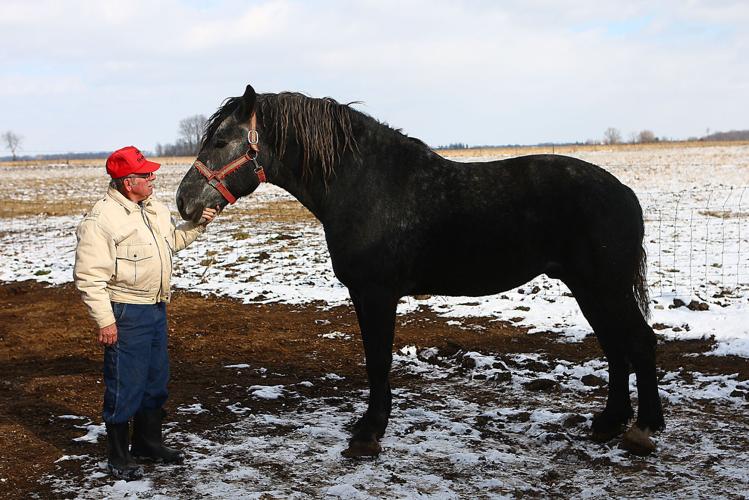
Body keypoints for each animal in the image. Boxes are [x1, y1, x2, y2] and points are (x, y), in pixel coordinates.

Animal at [176, 84, 665, 457]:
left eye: (220, 141)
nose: (184, 202)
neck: (366, 185)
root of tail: (624, 193)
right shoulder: (367, 293)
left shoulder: (377, 293)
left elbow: (378, 360)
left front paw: (369, 433)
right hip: (588, 288)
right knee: (615, 348)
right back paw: (609, 422)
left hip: (605, 287)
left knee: (639, 343)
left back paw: (643, 430)